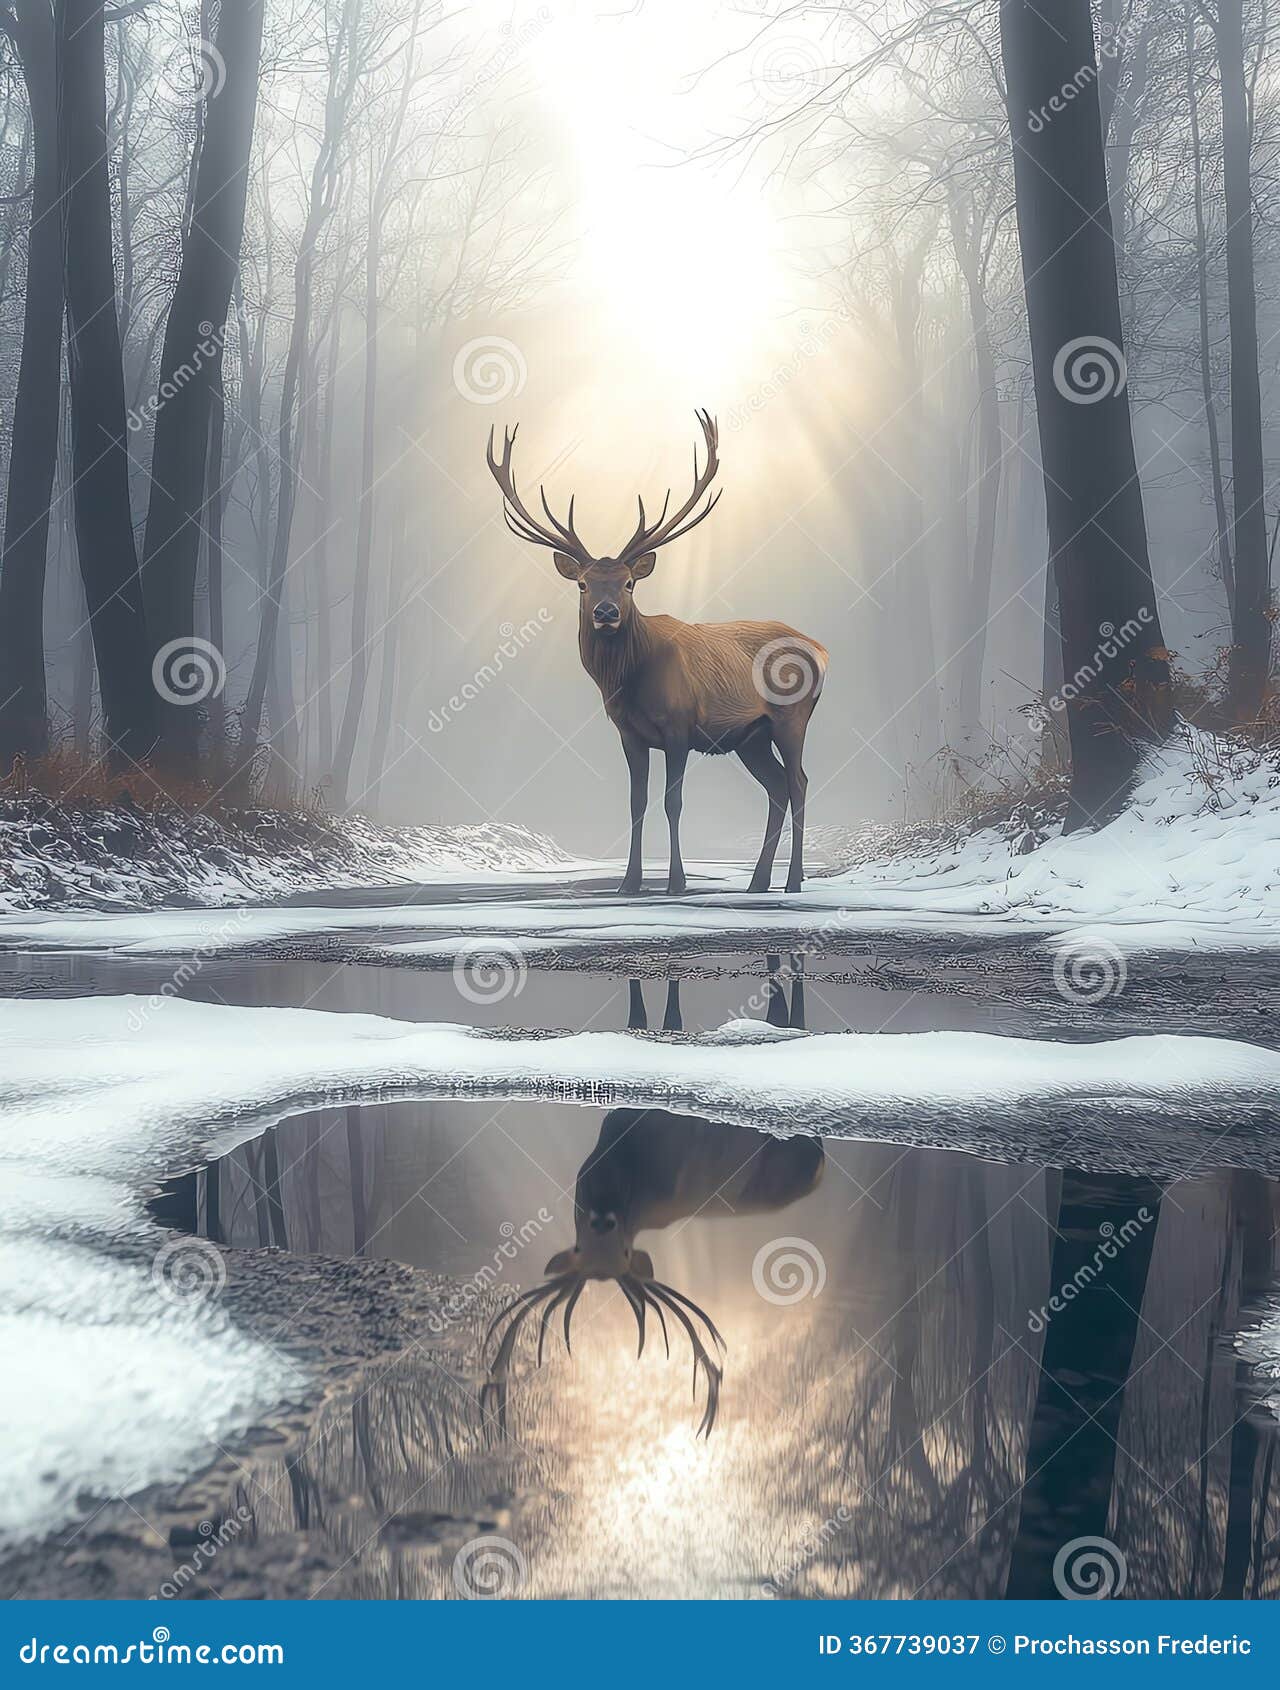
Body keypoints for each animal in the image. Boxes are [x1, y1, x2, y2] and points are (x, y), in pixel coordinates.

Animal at [486, 411, 828, 895]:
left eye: (630, 582)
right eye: (583, 584)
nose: (606, 612)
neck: (628, 684)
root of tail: (822, 649)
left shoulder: (679, 725)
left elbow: (674, 802)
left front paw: (676, 883)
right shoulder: (629, 733)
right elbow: (636, 802)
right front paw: (629, 883)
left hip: (791, 717)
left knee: (798, 781)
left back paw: (793, 880)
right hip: (751, 737)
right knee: (777, 787)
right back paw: (758, 882)